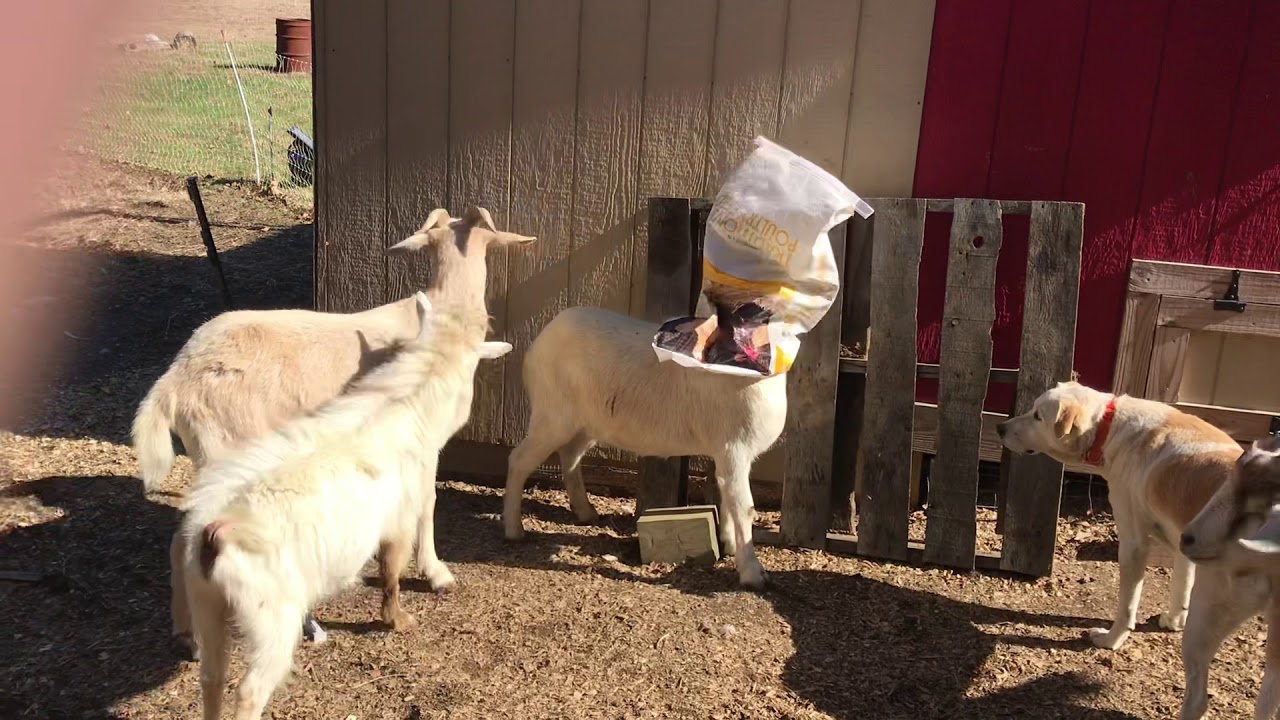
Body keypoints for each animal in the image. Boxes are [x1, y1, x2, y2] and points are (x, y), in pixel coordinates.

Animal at [179, 292, 491, 720]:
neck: (404, 408)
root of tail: (215, 531)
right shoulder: (397, 521)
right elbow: (392, 571)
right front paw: (397, 619)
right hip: (270, 616)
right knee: (249, 690)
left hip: (205, 601)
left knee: (211, 676)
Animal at [502, 305, 786, 589]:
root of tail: (541, 339)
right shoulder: (734, 448)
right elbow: (744, 507)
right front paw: (753, 574)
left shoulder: (727, 451)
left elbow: (727, 499)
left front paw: (729, 545)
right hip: (552, 415)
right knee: (519, 459)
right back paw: (513, 529)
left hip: (588, 423)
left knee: (570, 455)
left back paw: (585, 512)